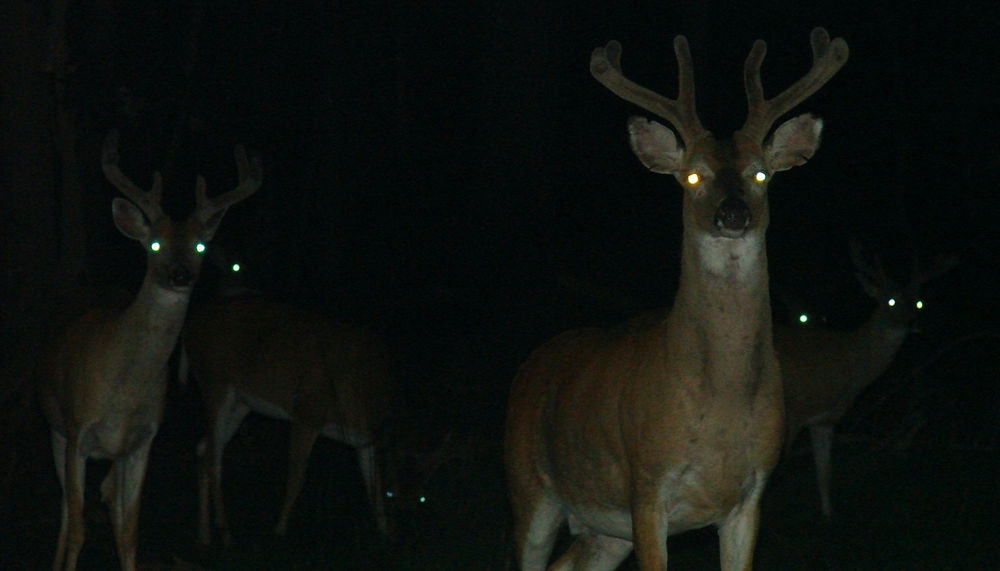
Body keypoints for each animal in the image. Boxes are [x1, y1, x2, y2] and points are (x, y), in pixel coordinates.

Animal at [34, 130, 262, 570]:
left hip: (114, 454)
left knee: (107, 499)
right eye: (154, 244)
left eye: (200, 247)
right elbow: (78, 526)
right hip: (55, 428)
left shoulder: (142, 443)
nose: (180, 275)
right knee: (67, 510)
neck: (123, 391)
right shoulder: (77, 429)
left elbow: (129, 532)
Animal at [182, 251, 401, 545]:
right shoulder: (306, 411)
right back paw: (224, 532)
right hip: (216, 383)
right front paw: (280, 529)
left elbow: (371, 485)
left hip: (241, 403)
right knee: (212, 457)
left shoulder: (363, 438)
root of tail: (189, 327)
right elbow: (297, 476)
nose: (404, 524)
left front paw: (385, 530)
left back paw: (204, 535)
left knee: (203, 447)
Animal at [504, 27, 848, 570]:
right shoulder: (647, 487)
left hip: (604, 530)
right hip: (528, 487)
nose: (733, 214)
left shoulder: (750, 496)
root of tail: (529, 367)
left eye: (760, 174)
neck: (721, 401)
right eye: (693, 175)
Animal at [775, 242, 957, 518]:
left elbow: (824, 473)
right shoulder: (794, 412)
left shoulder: (825, 419)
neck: (852, 361)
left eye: (918, 302)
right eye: (891, 300)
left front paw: (828, 516)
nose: (912, 322)